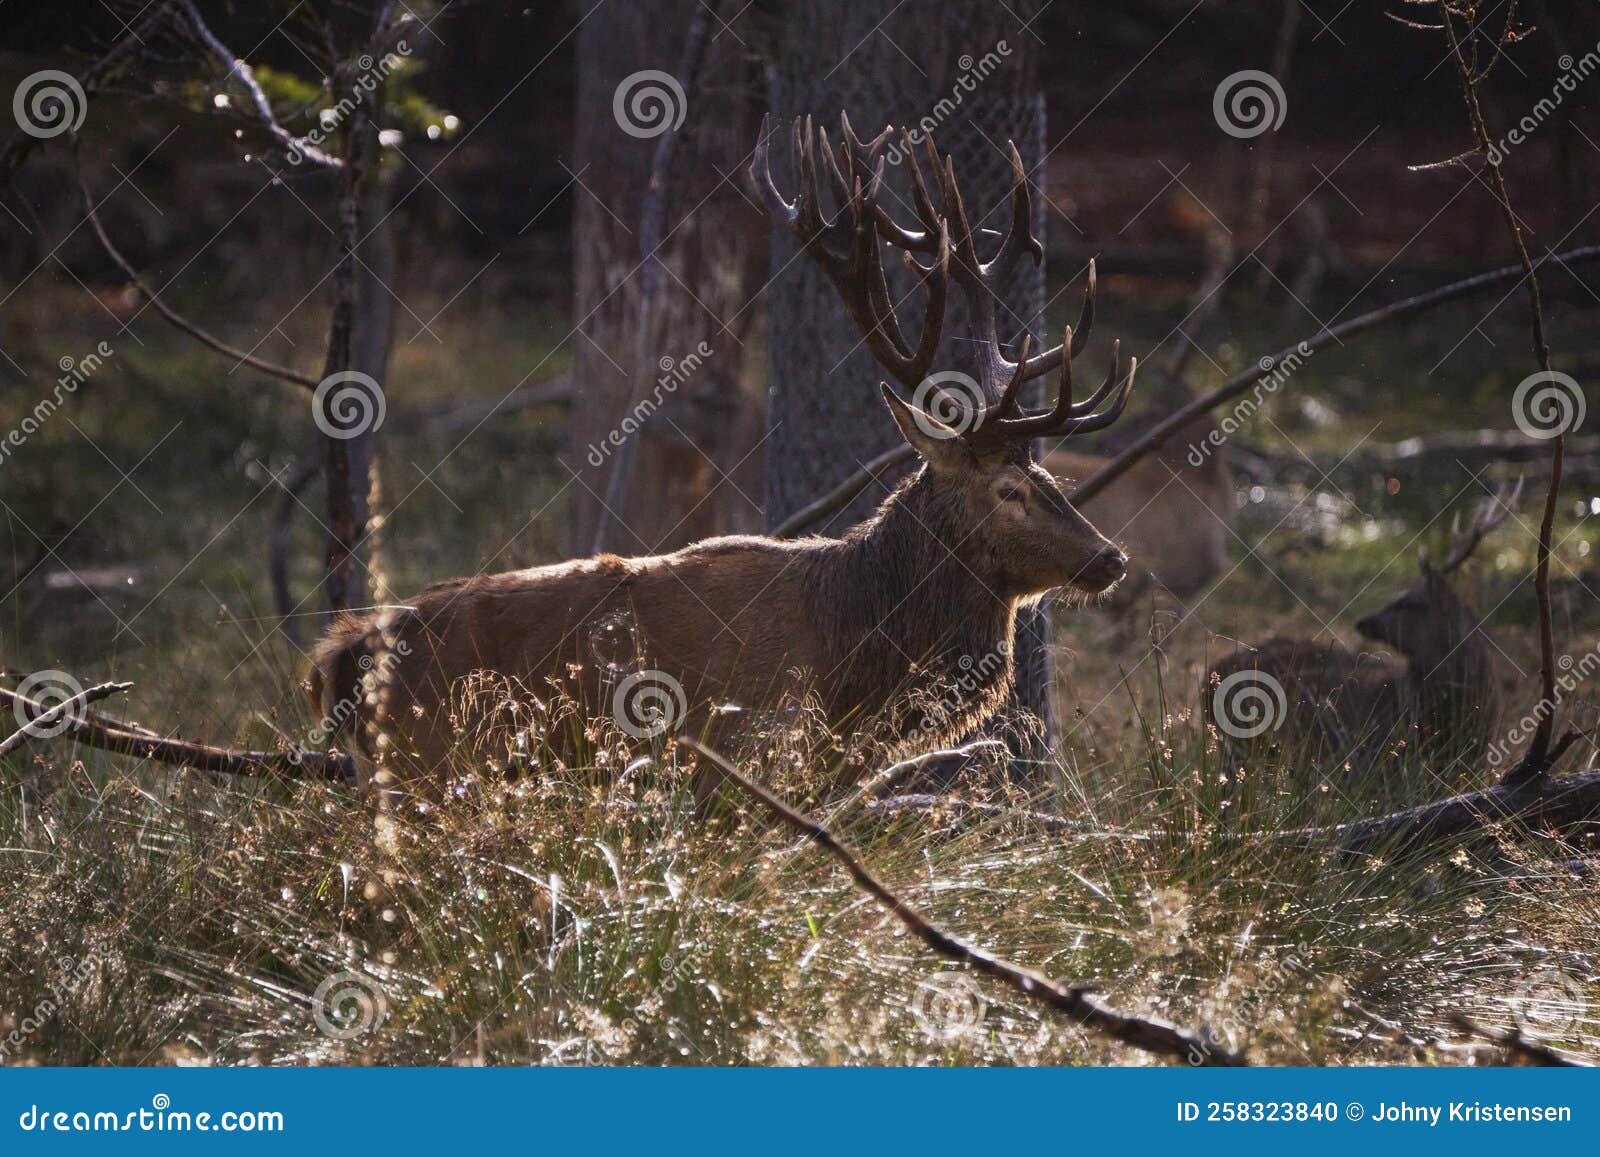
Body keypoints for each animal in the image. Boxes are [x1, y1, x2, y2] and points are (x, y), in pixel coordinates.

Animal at [306, 113, 1138, 784]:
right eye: (1008, 489)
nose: (1112, 556)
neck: (852, 675)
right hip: (433, 763)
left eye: (1049, 474)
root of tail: (341, 659)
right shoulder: (736, 758)